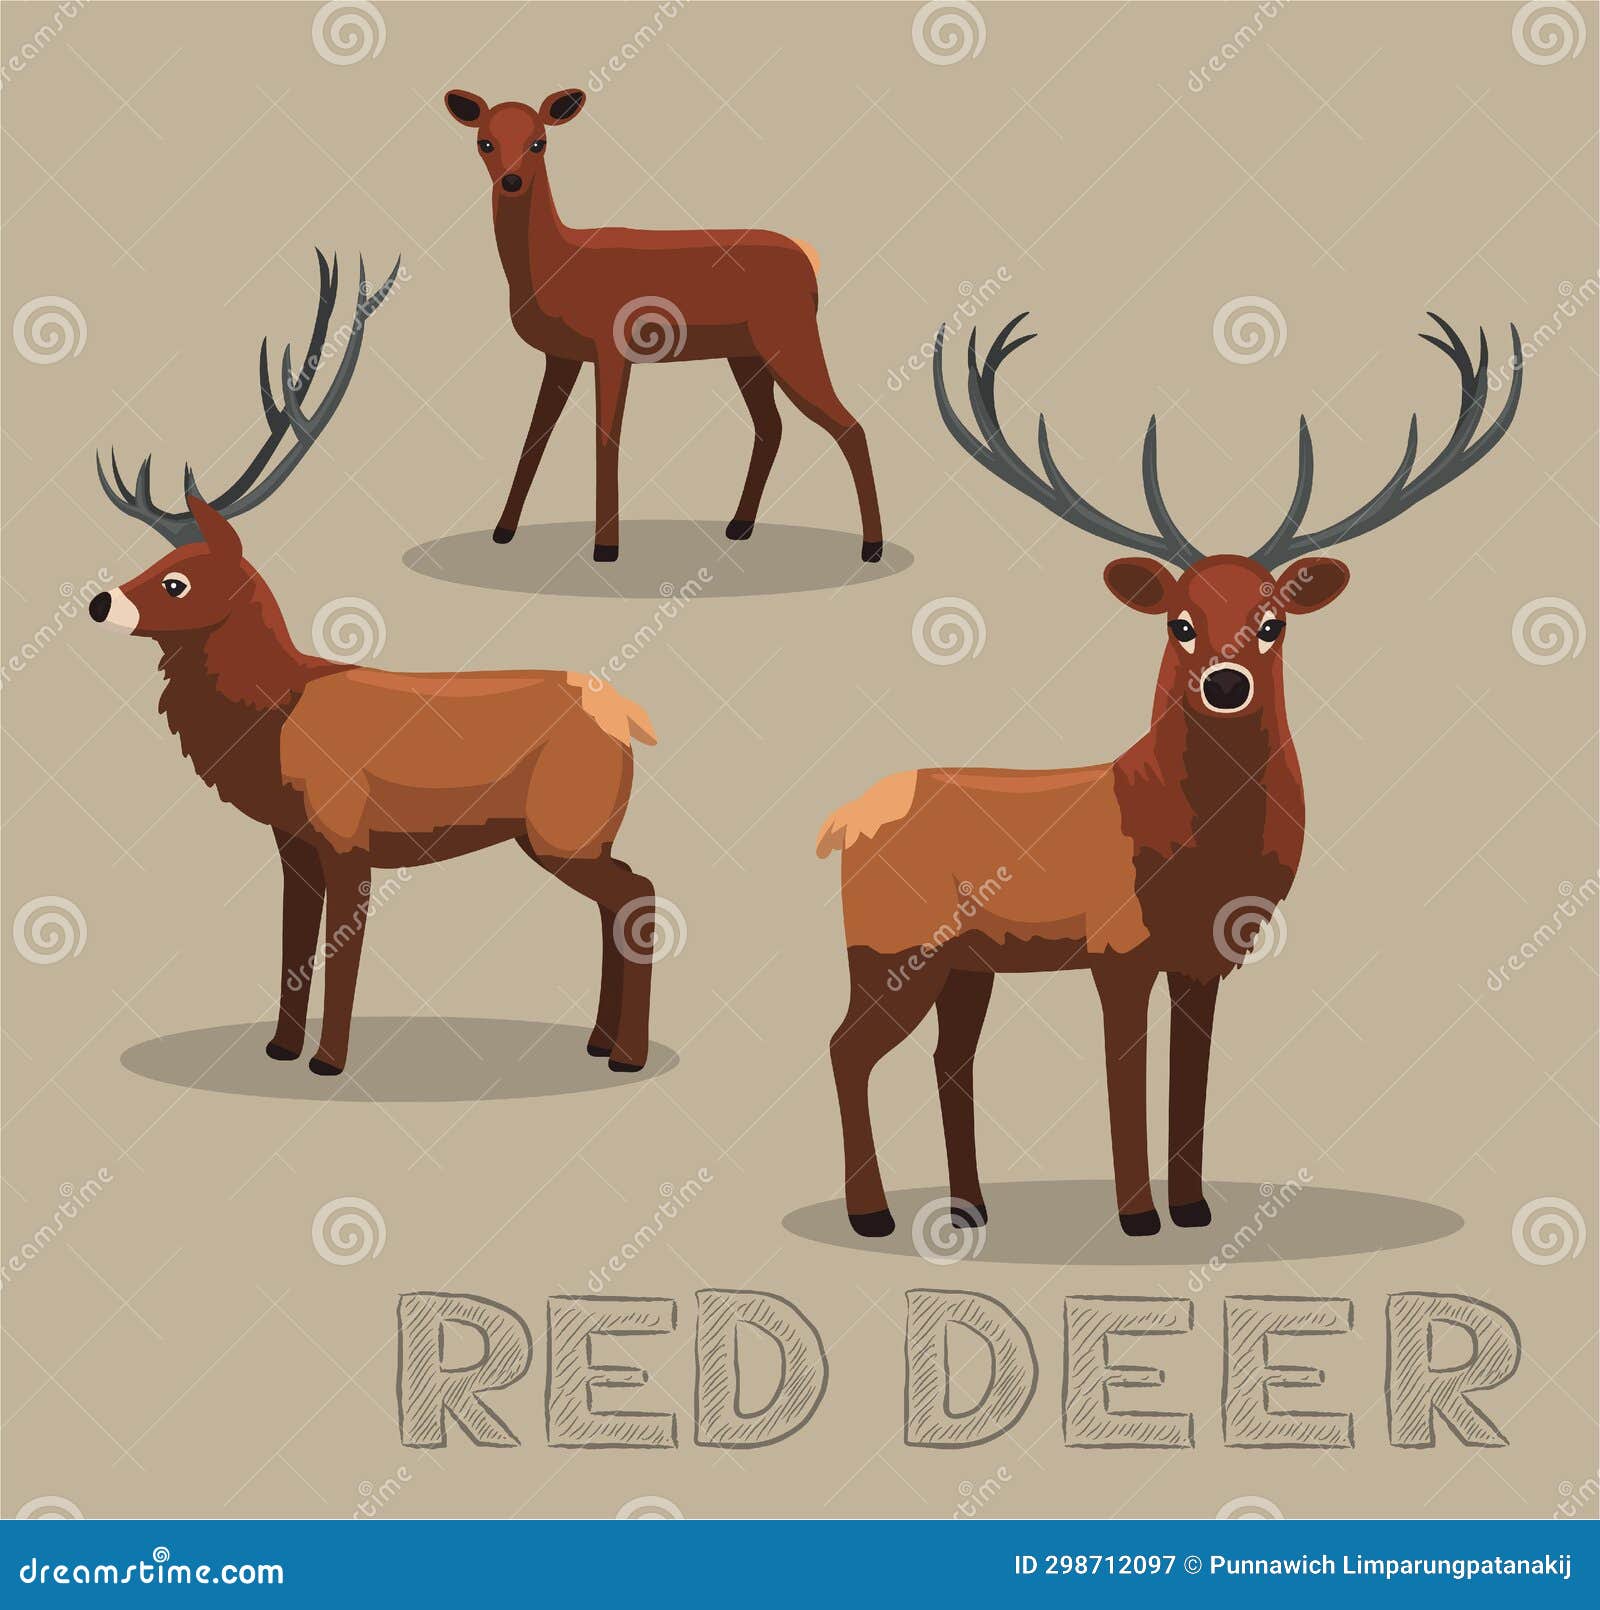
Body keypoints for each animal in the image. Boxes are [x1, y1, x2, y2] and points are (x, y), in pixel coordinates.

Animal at [90, 253, 661, 1078]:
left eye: (176, 582)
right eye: (154, 562)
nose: (101, 601)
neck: (275, 714)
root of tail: (628, 716)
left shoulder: (346, 835)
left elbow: (342, 951)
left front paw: (329, 1062)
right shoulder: (291, 843)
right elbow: (292, 944)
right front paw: (278, 1047)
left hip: (567, 829)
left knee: (640, 895)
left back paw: (625, 1056)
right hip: (572, 834)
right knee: (621, 903)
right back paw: (596, 1042)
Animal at [444, 87, 883, 565]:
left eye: (539, 142)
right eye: (485, 143)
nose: (512, 182)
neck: (555, 264)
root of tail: (809, 263)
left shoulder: (611, 348)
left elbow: (606, 440)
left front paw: (606, 548)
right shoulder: (561, 356)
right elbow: (534, 438)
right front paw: (503, 532)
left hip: (791, 340)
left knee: (851, 428)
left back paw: (871, 547)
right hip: (747, 354)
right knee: (772, 428)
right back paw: (739, 526)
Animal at [817, 312, 1522, 1240]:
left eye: (1273, 620)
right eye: (1181, 622)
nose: (1225, 685)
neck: (1186, 849)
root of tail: (839, 822)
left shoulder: (1206, 959)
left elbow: (1192, 1076)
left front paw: (1192, 1207)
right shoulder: (1118, 947)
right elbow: (1128, 1077)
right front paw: (1137, 1216)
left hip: (968, 964)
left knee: (948, 1055)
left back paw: (968, 1208)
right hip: (893, 945)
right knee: (845, 1048)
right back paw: (872, 1215)